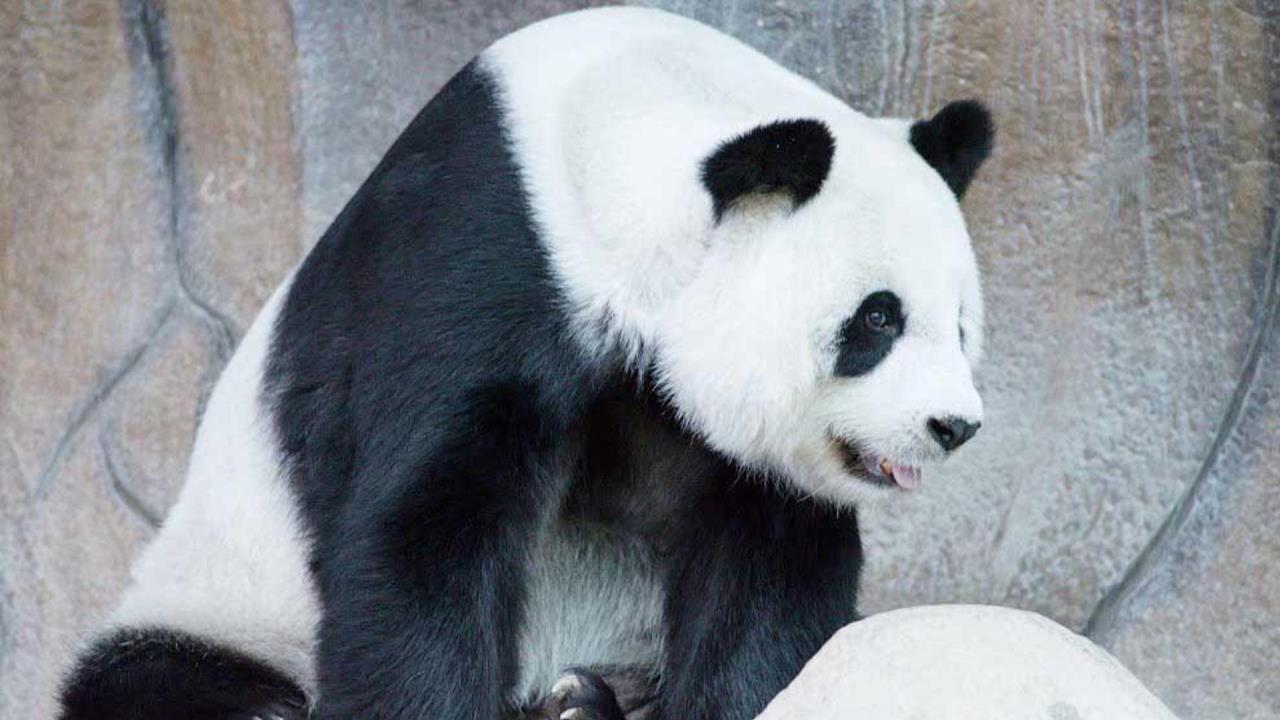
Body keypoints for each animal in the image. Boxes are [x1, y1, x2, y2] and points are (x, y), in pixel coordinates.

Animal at [59, 7, 992, 720]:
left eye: (960, 326)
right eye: (878, 318)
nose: (953, 426)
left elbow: (768, 573)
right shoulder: (475, 258)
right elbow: (422, 530)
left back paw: (584, 703)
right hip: (221, 596)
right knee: (156, 680)